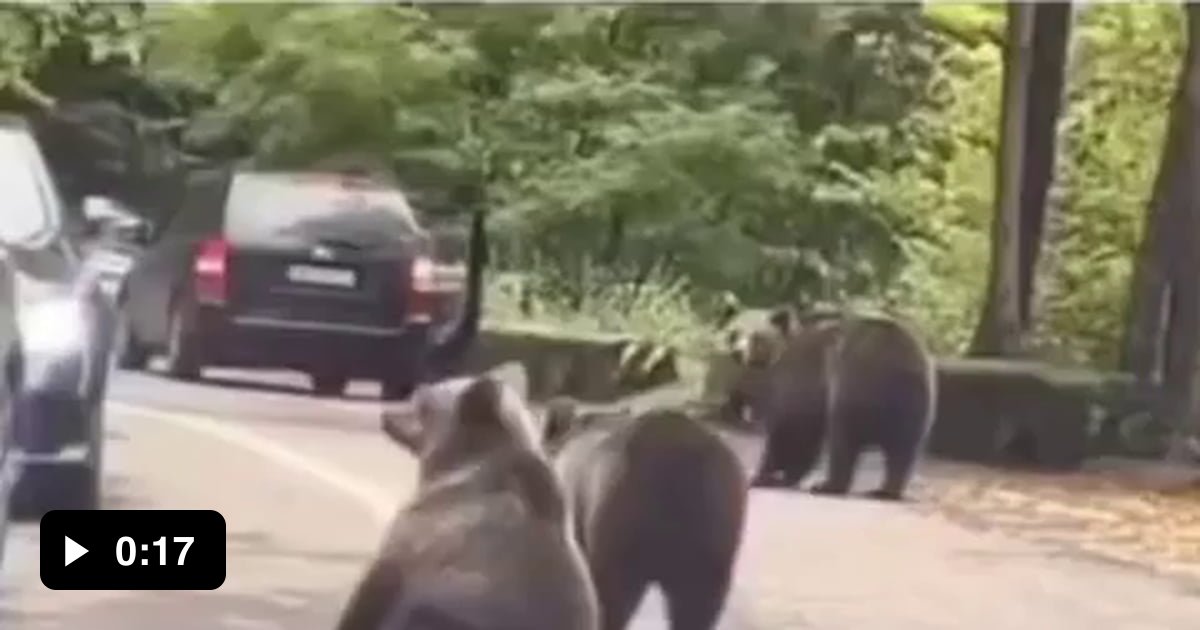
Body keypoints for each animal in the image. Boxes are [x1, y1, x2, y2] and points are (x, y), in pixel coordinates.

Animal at [722, 307, 937, 501]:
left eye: (756, 336)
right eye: (734, 333)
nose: (737, 352)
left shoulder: (802, 374)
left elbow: (791, 428)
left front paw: (764, 476)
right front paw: (784, 476)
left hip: (853, 384)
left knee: (843, 437)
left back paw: (827, 485)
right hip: (916, 404)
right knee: (903, 452)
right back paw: (886, 490)